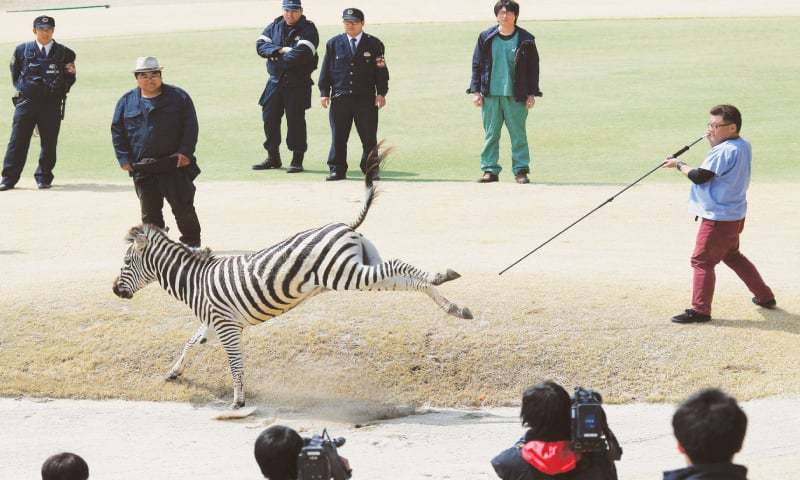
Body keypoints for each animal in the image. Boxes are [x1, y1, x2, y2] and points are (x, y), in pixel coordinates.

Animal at [112, 147, 473, 409]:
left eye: (127, 261)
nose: (115, 290)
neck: (195, 281)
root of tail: (344, 225)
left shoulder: (227, 326)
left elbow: (235, 363)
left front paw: (238, 401)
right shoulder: (214, 323)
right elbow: (190, 343)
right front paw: (173, 372)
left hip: (345, 273)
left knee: (399, 266)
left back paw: (446, 286)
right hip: (362, 268)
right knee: (404, 277)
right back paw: (450, 297)